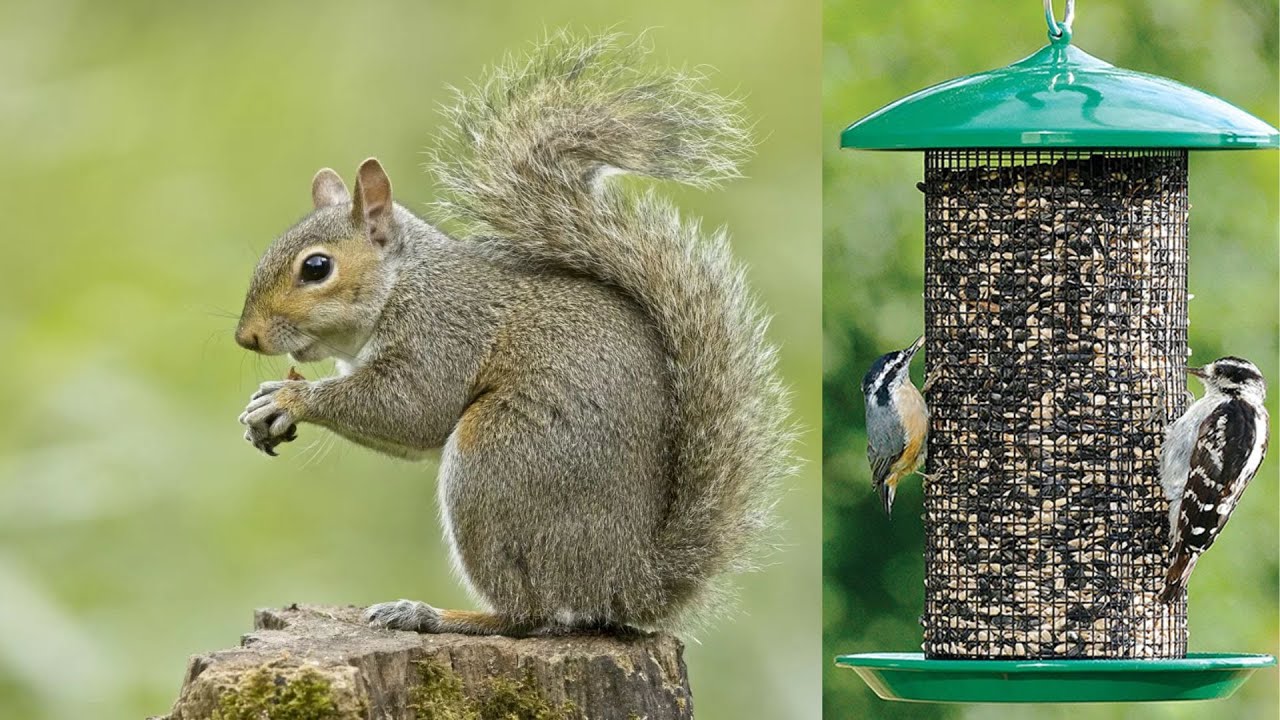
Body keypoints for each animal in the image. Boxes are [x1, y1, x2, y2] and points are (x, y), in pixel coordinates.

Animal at [233, 33, 794, 636]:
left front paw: (291, 398)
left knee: (529, 613)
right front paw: (266, 405)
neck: (405, 284)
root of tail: (628, 582)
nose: (247, 338)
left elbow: (413, 409)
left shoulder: (445, 331)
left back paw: (434, 614)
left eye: (317, 268)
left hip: (496, 464)